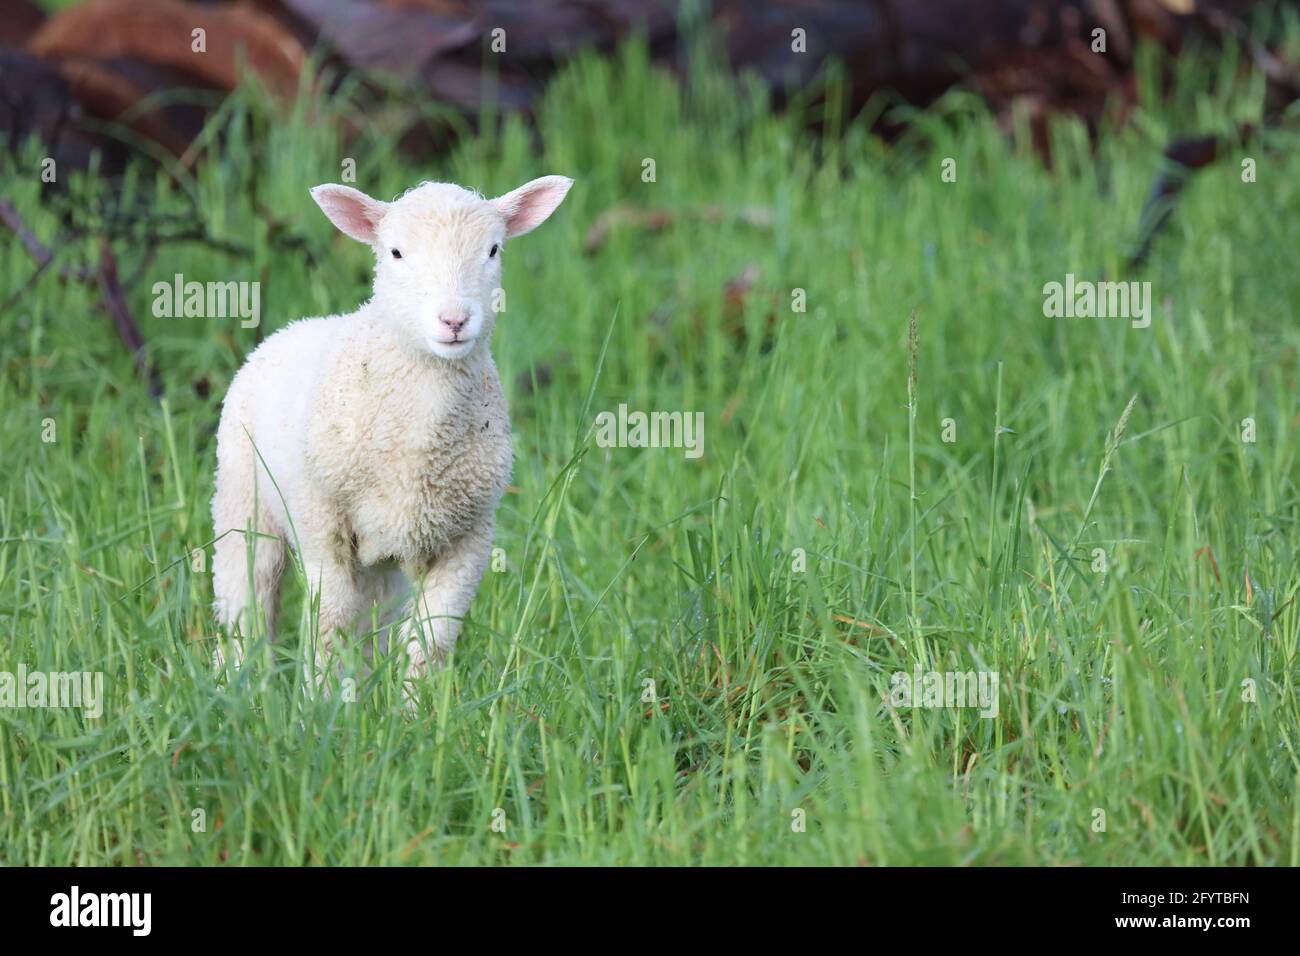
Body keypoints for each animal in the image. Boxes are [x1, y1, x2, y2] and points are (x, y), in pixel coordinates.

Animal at [210, 175, 574, 692]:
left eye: (493, 250)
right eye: (396, 252)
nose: (453, 320)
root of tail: (291, 328)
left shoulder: (469, 536)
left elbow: (432, 637)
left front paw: (416, 706)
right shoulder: (324, 523)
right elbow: (329, 624)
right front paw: (321, 700)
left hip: (382, 554)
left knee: (374, 618)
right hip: (243, 499)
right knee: (246, 600)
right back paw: (236, 685)